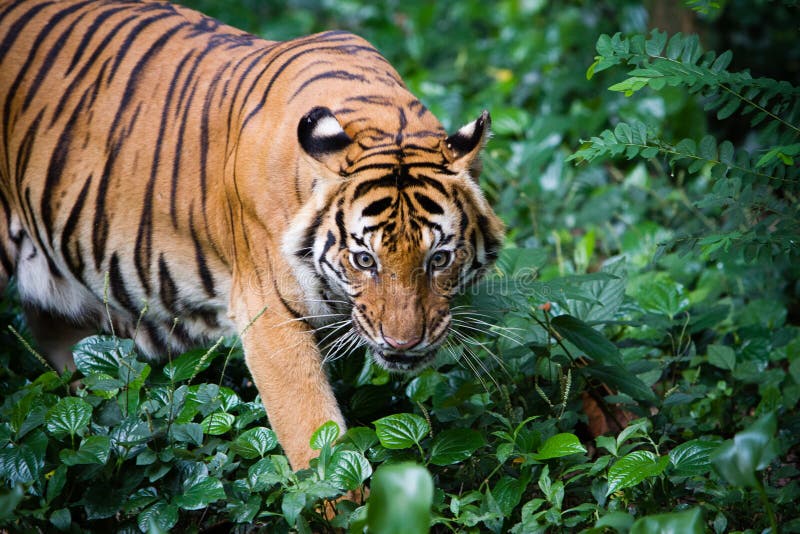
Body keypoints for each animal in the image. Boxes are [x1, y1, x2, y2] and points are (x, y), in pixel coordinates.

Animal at [0, 0, 505, 470]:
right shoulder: (268, 317)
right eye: (365, 260)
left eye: (438, 259)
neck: (378, 117)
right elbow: (314, 438)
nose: (403, 344)